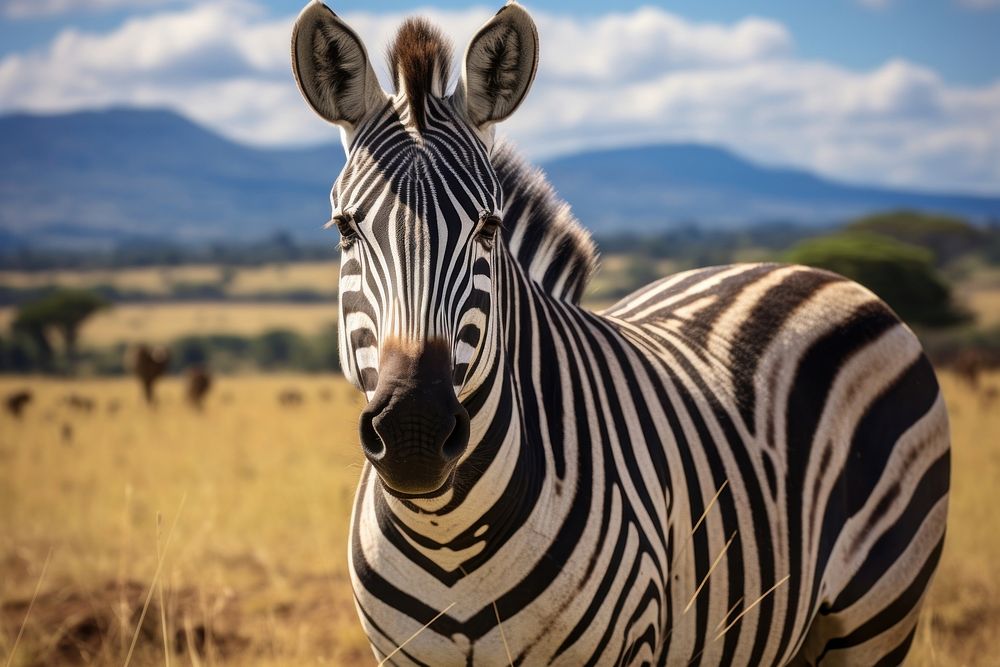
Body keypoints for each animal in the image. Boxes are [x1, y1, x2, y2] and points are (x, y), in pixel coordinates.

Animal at [290, 2, 950, 665]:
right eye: (345, 228)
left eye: (489, 228)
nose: (414, 433)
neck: (446, 530)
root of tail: (816, 272)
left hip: (879, 608)